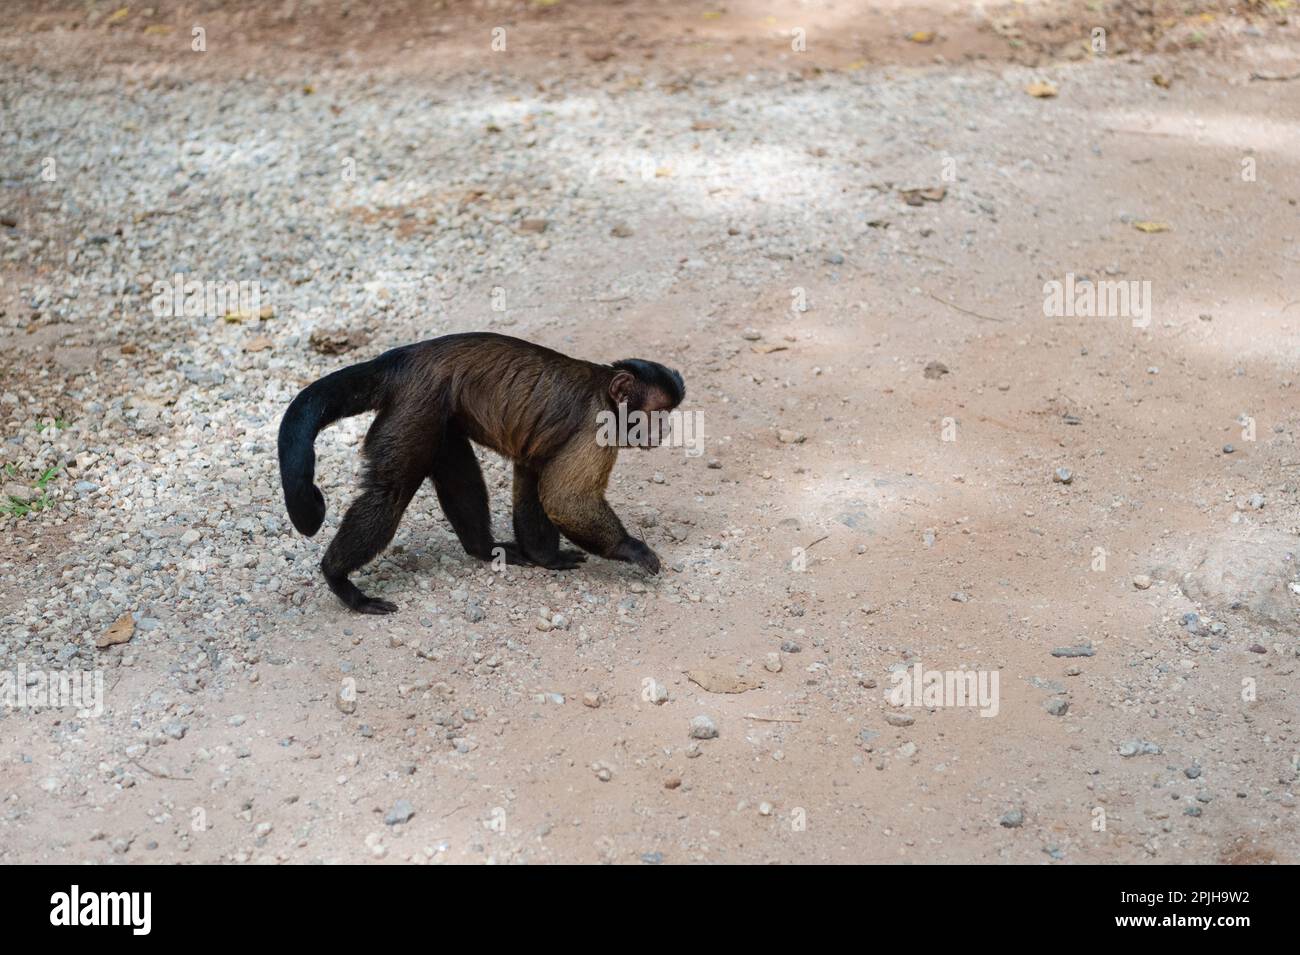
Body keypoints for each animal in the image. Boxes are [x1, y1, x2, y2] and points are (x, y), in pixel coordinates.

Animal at [277, 332, 686, 614]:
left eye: (667, 416)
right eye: (656, 414)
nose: (664, 430)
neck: (606, 394)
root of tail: (400, 358)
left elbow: (535, 478)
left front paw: (546, 558)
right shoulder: (595, 427)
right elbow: (564, 498)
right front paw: (629, 548)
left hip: (436, 410)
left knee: (456, 474)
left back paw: (482, 549)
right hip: (416, 403)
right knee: (389, 493)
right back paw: (338, 578)